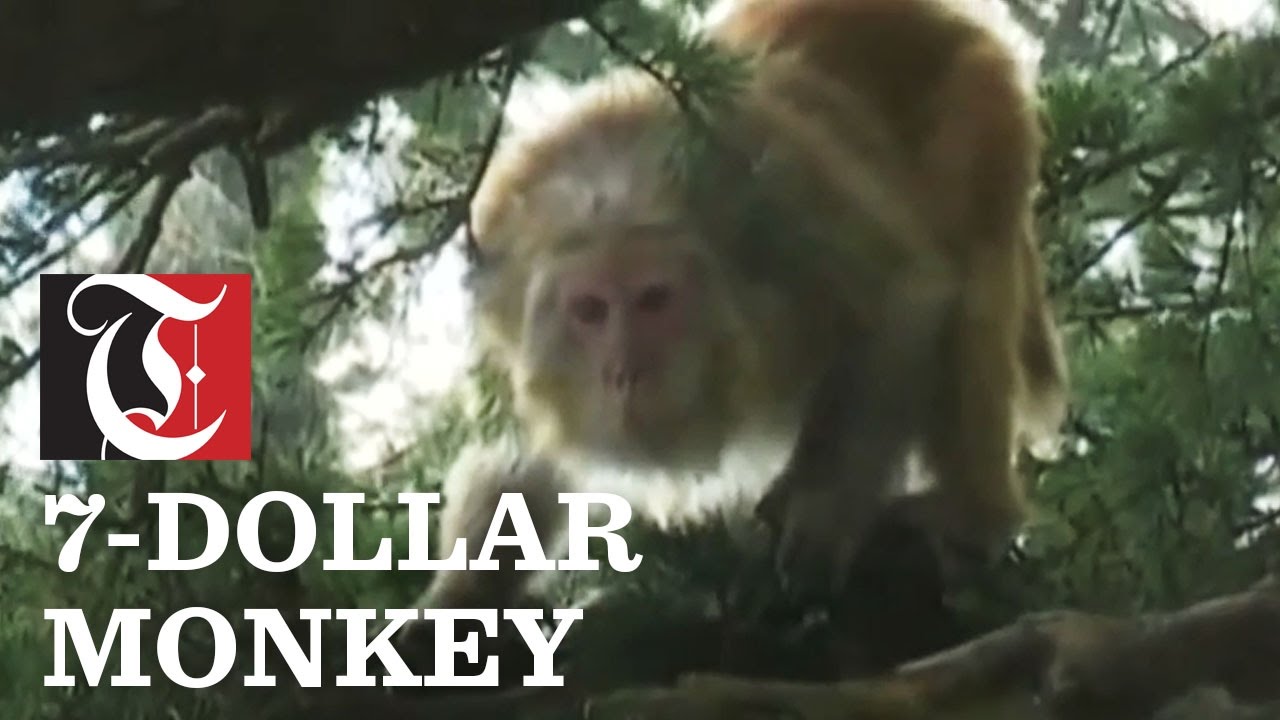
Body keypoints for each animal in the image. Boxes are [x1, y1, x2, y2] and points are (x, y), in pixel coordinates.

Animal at [415, 0, 1069, 614]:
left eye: (653, 300)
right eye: (591, 310)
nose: (626, 371)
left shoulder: (778, 194)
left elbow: (904, 298)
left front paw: (823, 510)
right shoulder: (502, 279)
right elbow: (517, 445)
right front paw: (465, 593)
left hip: (979, 101)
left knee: (971, 265)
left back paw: (977, 512)